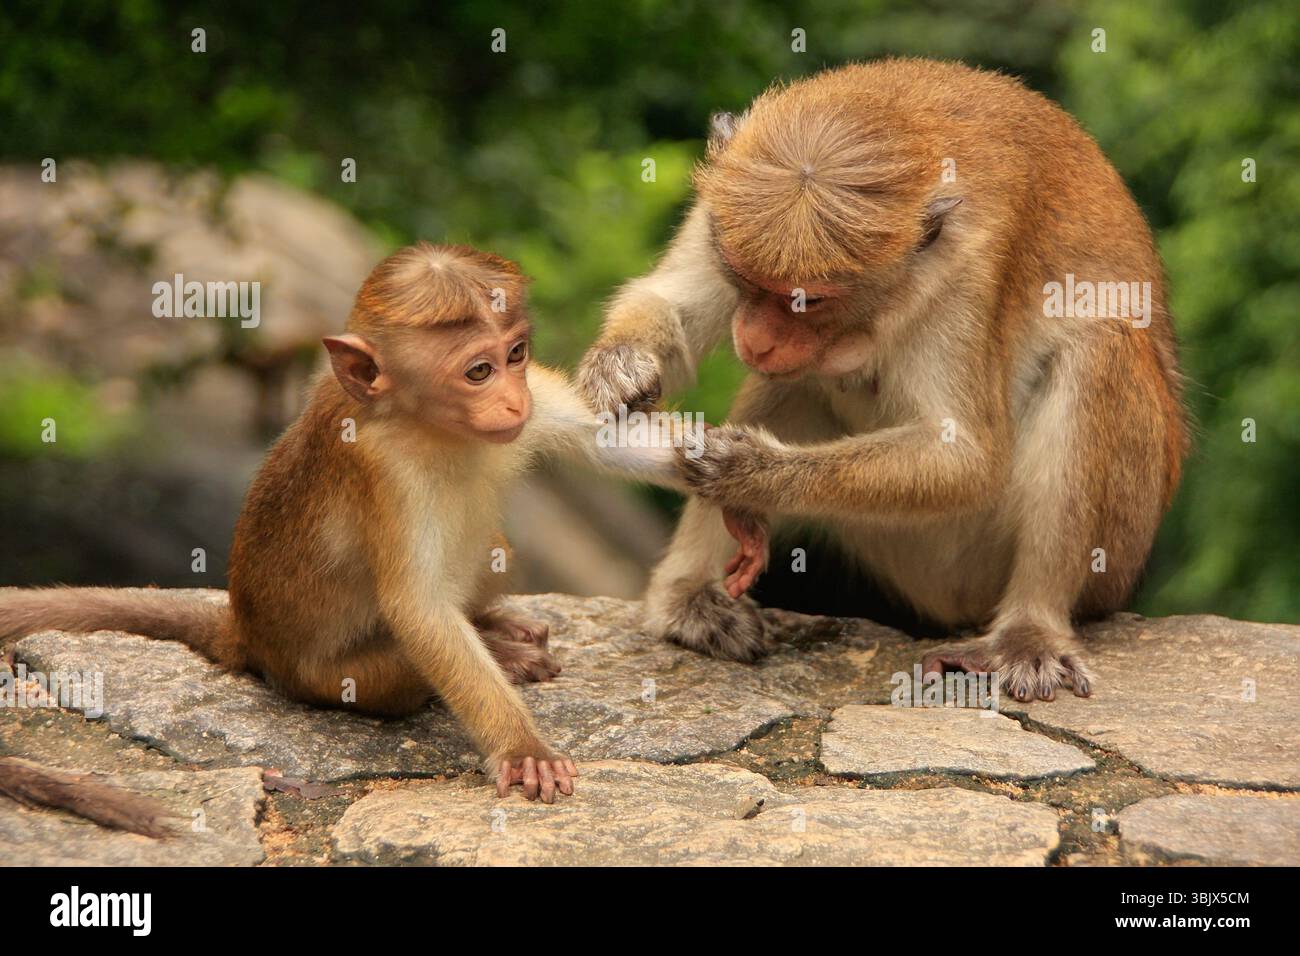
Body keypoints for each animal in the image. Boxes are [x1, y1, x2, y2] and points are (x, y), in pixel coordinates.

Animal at [1, 242, 698, 805]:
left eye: (516, 354)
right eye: (478, 370)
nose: (512, 401)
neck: (428, 425)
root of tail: (247, 633)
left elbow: (605, 438)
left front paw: (725, 461)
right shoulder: (383, 474)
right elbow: (418, 608)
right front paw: (522, 745)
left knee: (492, 545)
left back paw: (494, 624)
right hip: (328, 680)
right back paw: (498, 651)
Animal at [577, 59, 1188, 702]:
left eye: (808, 301)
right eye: (743, 275)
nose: (757, 339)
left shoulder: (967, 273)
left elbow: (965, 456)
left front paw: (753, 472)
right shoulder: (718, 204)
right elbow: (668, 303)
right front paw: (618, 367)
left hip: (1084, 551)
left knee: (1098, 347)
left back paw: (1031, 628)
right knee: (795, 383)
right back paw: (690, 594)